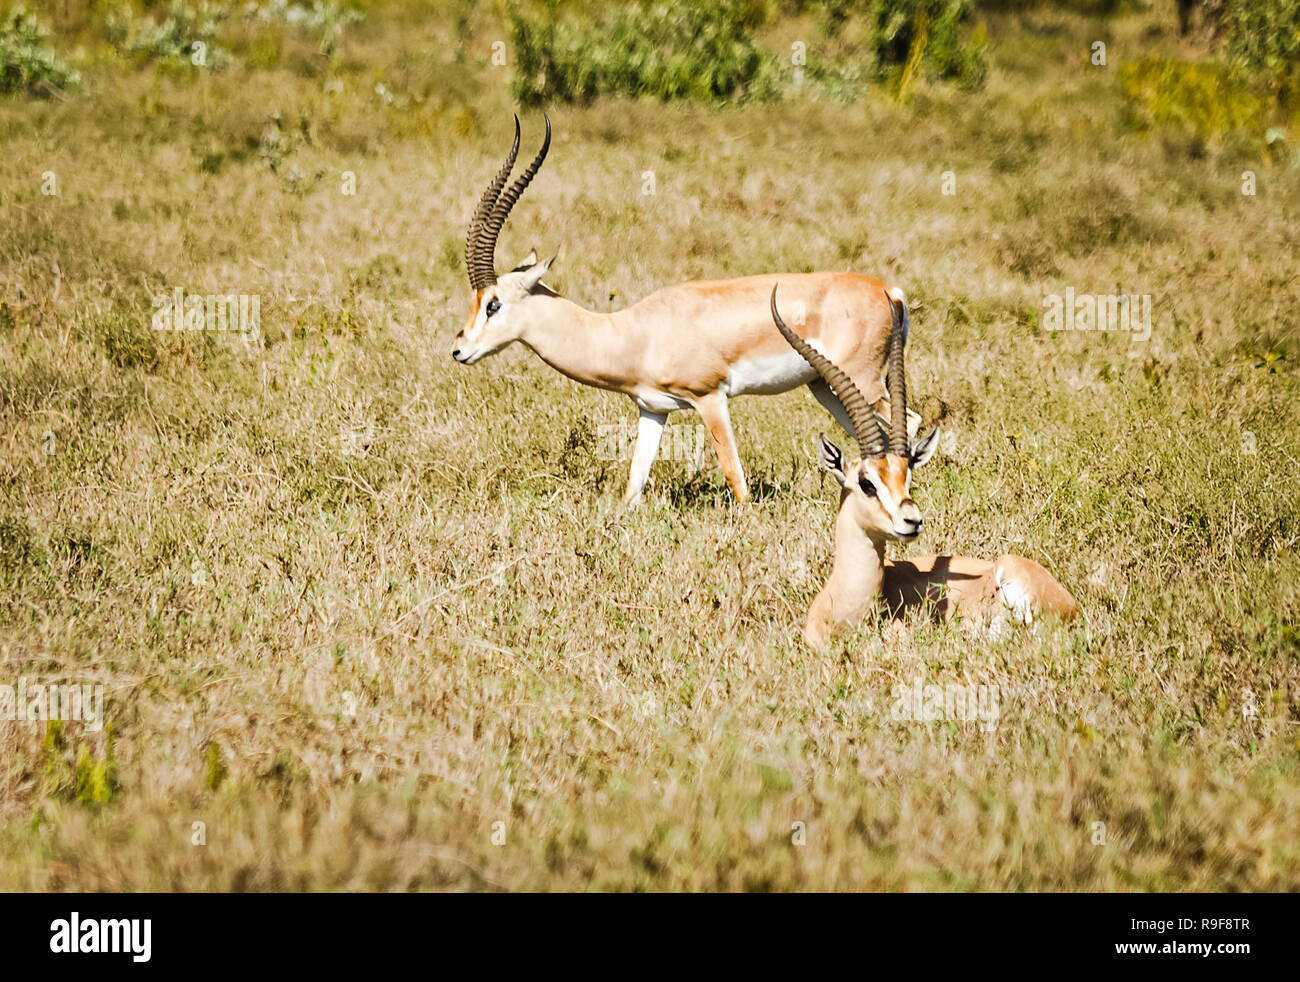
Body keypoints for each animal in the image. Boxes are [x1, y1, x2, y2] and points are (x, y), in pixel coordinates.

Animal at [454, 115, 913, 507]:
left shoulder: (710, 398)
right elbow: (634, 482)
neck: (635, 333)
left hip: (864, 382)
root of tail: (888, 292)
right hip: (825, 387)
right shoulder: (652, 409)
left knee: (910, 421)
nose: (459, 350)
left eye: (493, 303)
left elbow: (735, 478)